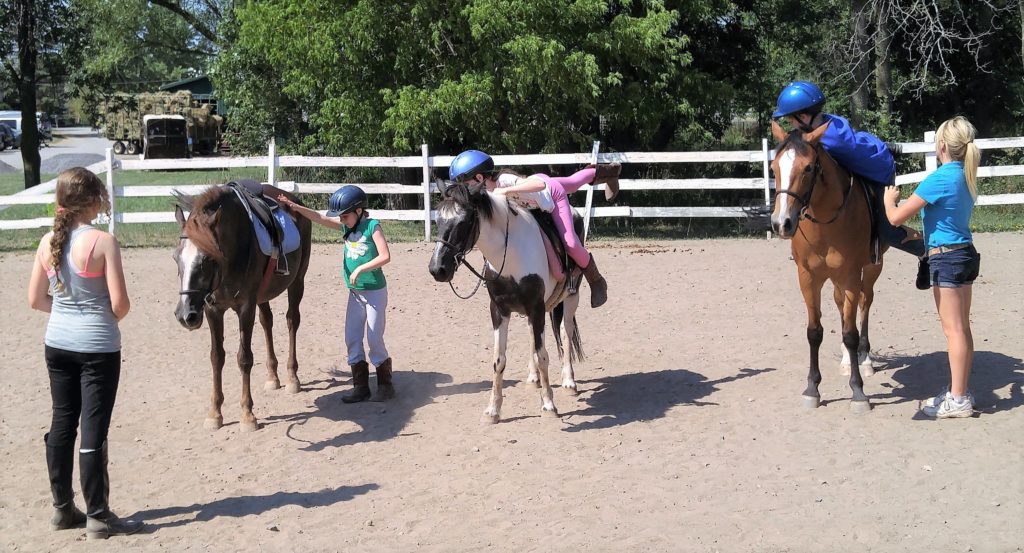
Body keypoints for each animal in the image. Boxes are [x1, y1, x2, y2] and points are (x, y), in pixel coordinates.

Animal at [172, 183, 312, 431]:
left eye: (207, 259)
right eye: (176, 258)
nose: (185, 314)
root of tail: (295, 202)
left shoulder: (246, 307)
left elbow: (244, 358)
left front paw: (247, 414)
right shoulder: (213, 309)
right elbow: (216, 357)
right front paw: (214, 413)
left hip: (297, 282)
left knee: (292, 321)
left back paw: (291, 378)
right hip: (263, 295)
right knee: (267, 322)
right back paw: (272, 377)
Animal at [428, 181, 584, 424]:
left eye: (463, 222)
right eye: (438, 221)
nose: (437, 269)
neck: (511, 253)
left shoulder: (536, 307)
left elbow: (543, 356)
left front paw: (548, 405)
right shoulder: (499, 310)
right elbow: (498, 359)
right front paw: (493, 410)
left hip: (570, 299)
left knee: (565, 332)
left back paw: (569, 381)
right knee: (534, 337)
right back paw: (533, 378)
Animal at [769, 120, 885, 414]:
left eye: (809, 168)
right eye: (774, 168)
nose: (781, 223)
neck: (826, 222)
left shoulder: (852, 275)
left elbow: (851, 333)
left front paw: (858, 391)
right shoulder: (808, 278)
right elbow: (815, 332)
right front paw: (812, 389)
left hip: (871, 270)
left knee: (865, 304)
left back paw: (864, 359)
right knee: (842, 305)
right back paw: (846, 359)